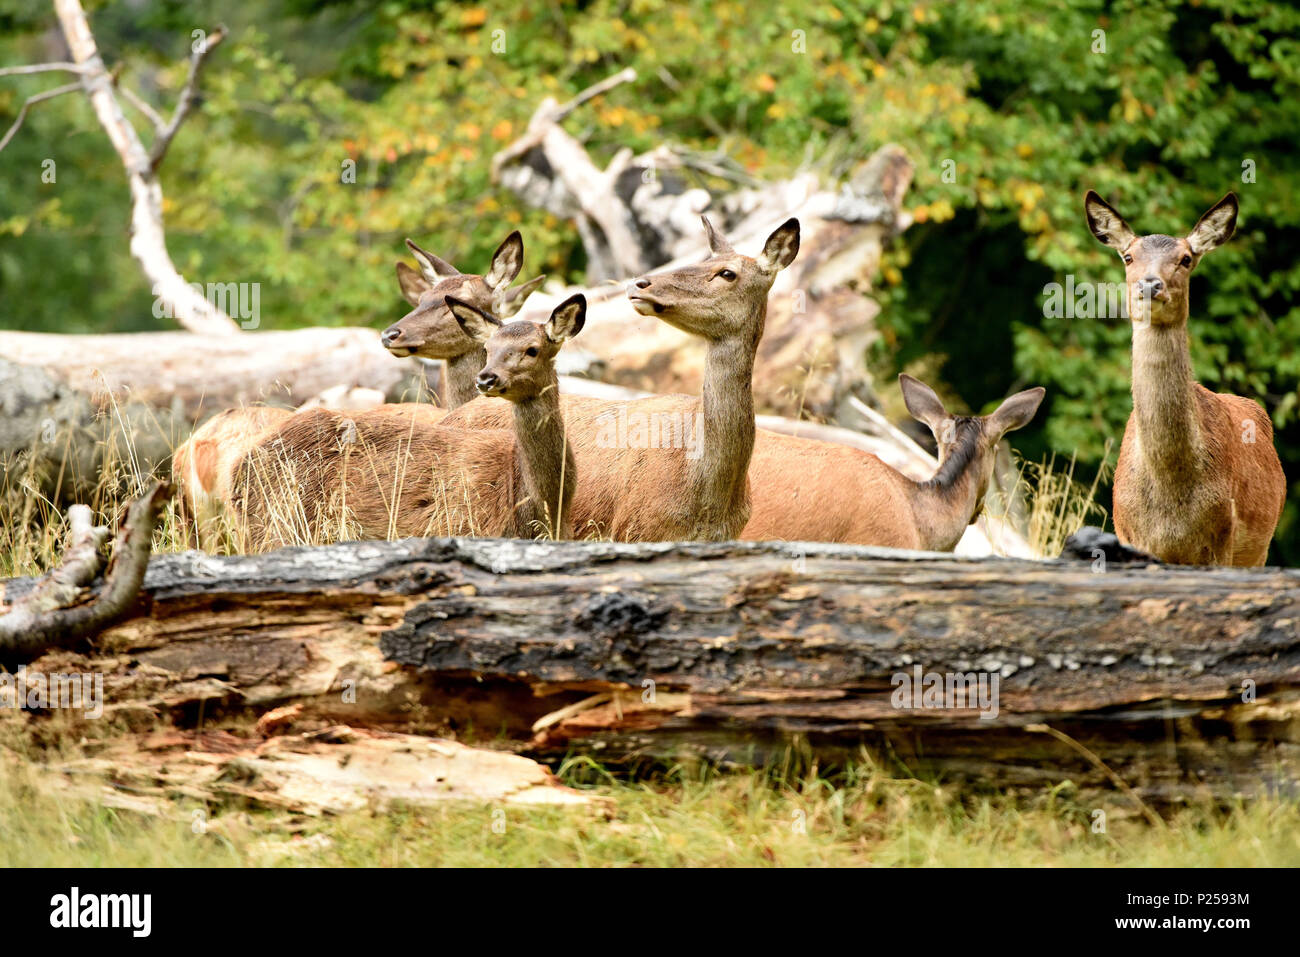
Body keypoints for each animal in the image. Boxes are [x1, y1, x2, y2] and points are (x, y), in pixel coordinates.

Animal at [233, 295, 586, 548]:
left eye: (533, 349)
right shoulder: (461, 526)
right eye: (488, 348)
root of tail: (238, 468)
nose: (486, 378)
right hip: (274, 527)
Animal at [1084, 189, 1285, 566]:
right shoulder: (1128, 532)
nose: (1150, 285)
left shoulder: (1223, 535)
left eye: (1186, 258)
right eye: (1128, 257)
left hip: (1260, 548)